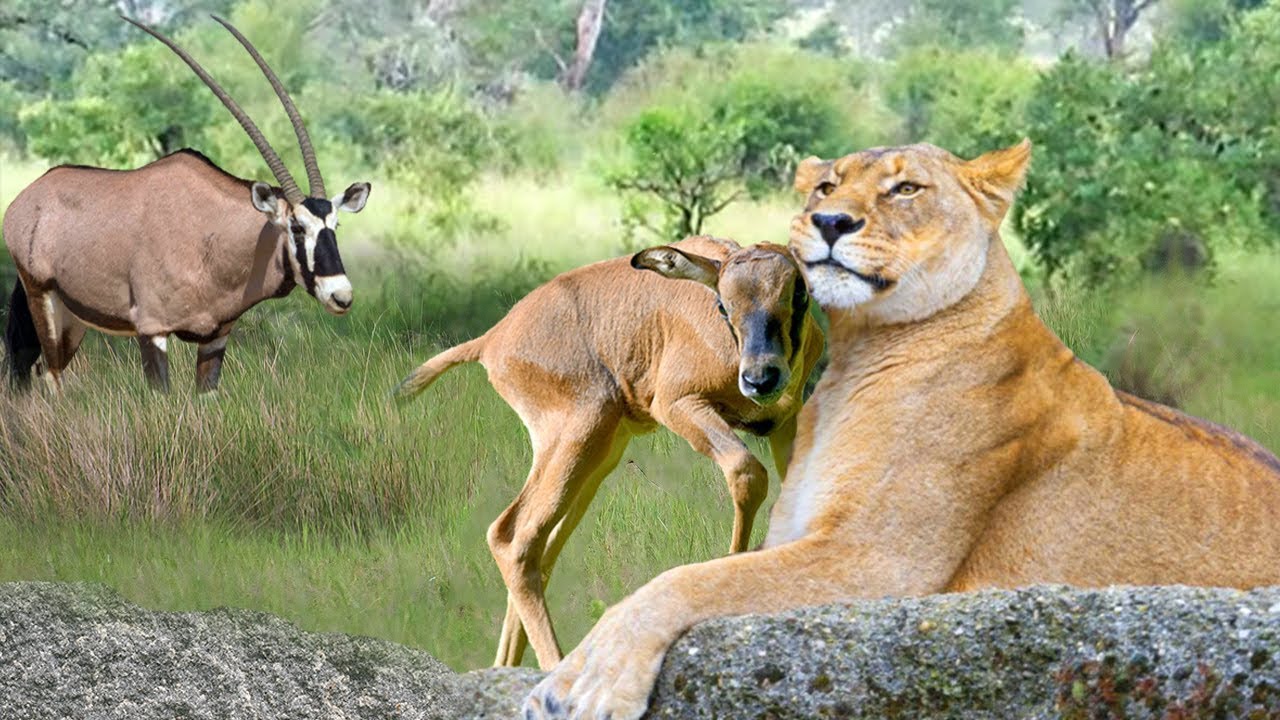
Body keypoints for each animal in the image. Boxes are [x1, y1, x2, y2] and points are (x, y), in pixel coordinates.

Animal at [523, 140, 1280, 719]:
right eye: (826, 185)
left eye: (906, 188)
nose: (829, 220)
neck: (859, 360)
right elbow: (710, 570)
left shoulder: (883, 561)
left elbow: (689, 581)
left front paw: (579, 683)